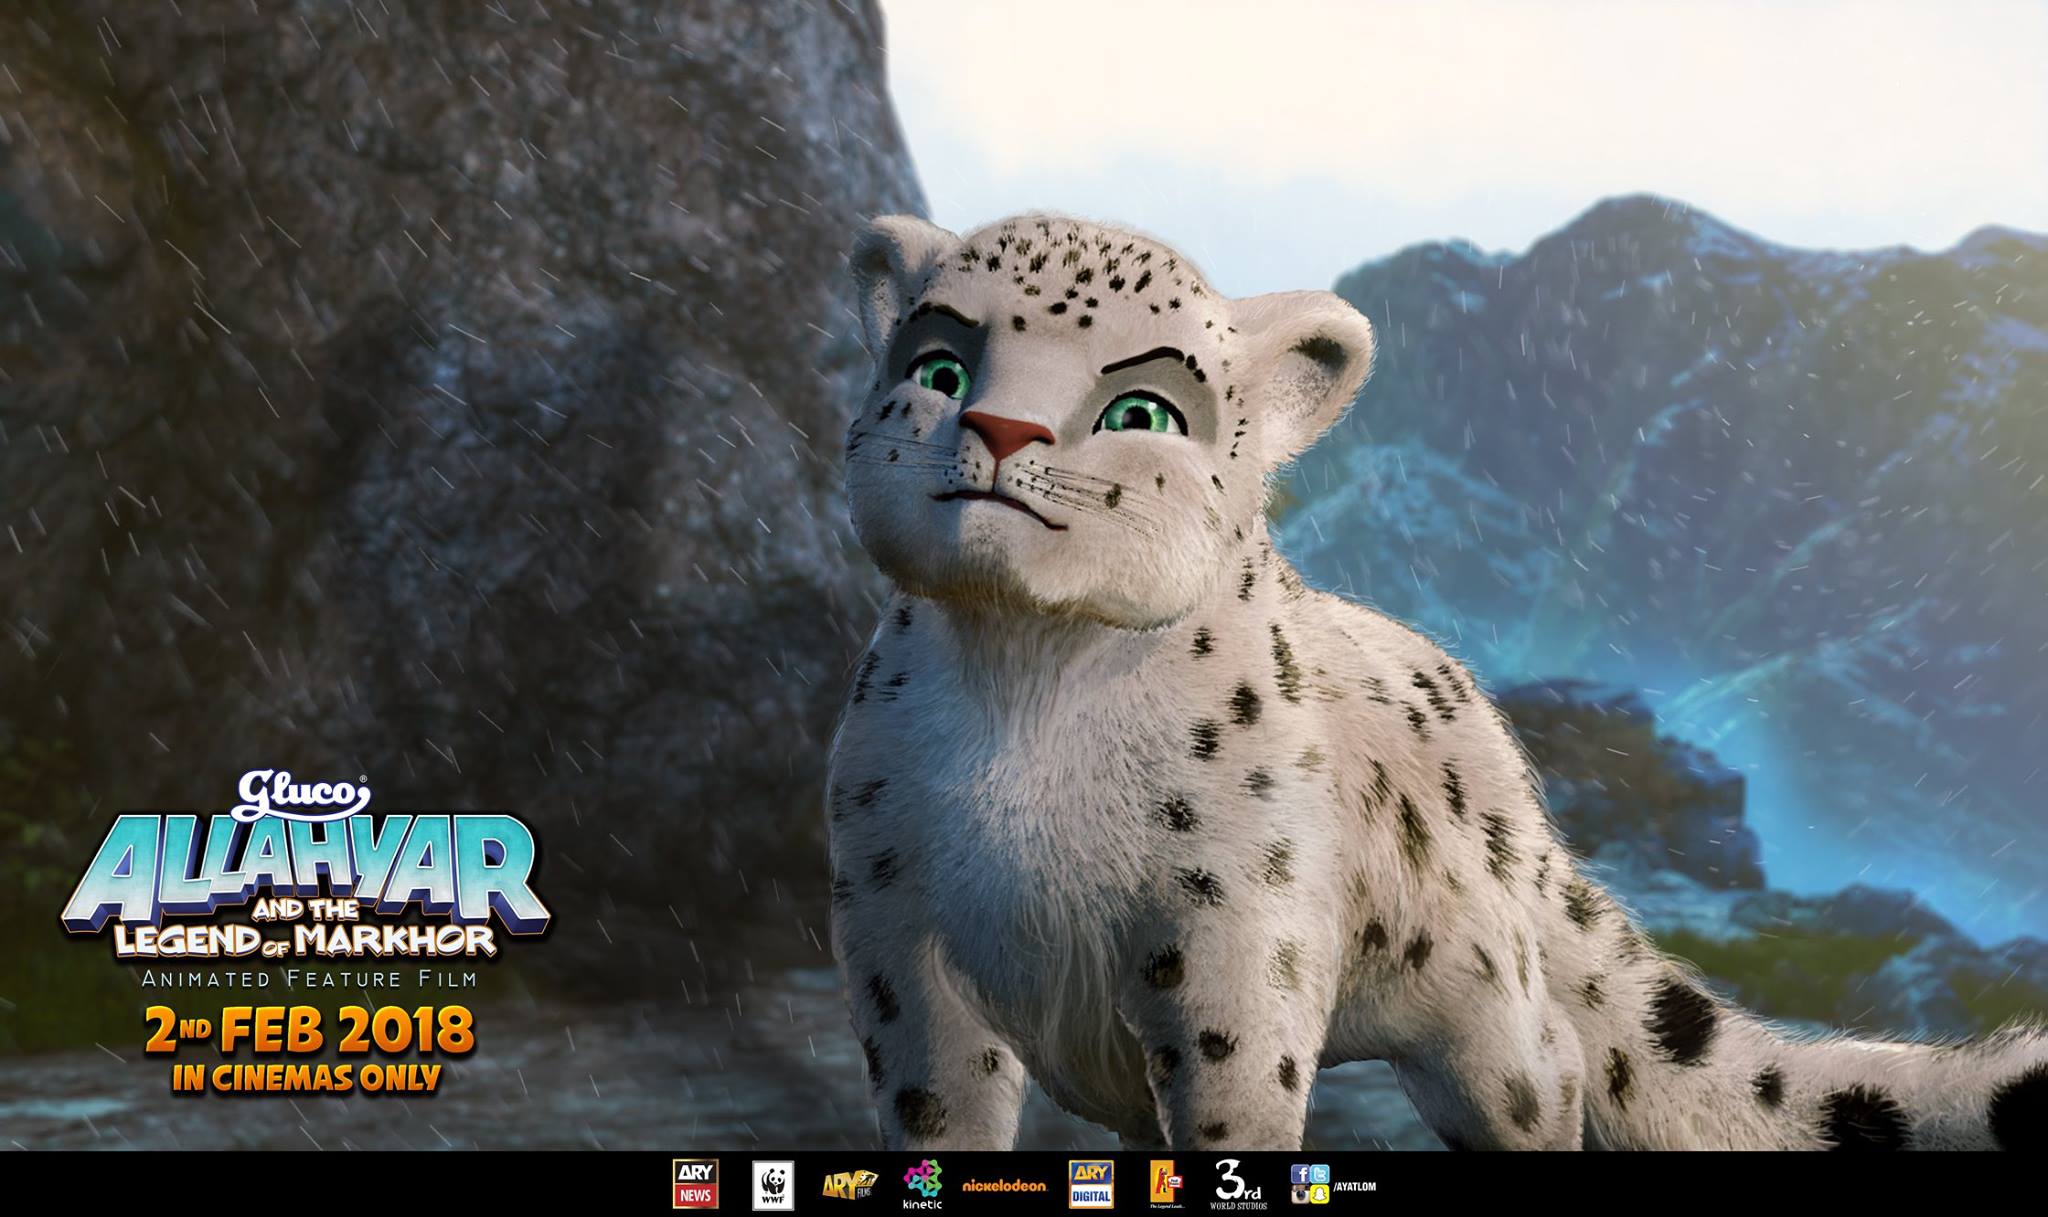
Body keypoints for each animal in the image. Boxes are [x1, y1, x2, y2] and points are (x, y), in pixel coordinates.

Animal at [823, 211, 2048, 1151]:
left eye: (1142, 411)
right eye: (937, 368)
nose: (999, 426)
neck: (1024, 690)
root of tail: (1515, 790)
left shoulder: (1233, 926)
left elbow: (1232, 1097)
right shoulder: (894, 926)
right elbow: (938, 1107)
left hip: (1479, 1001)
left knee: (1547, 1066)